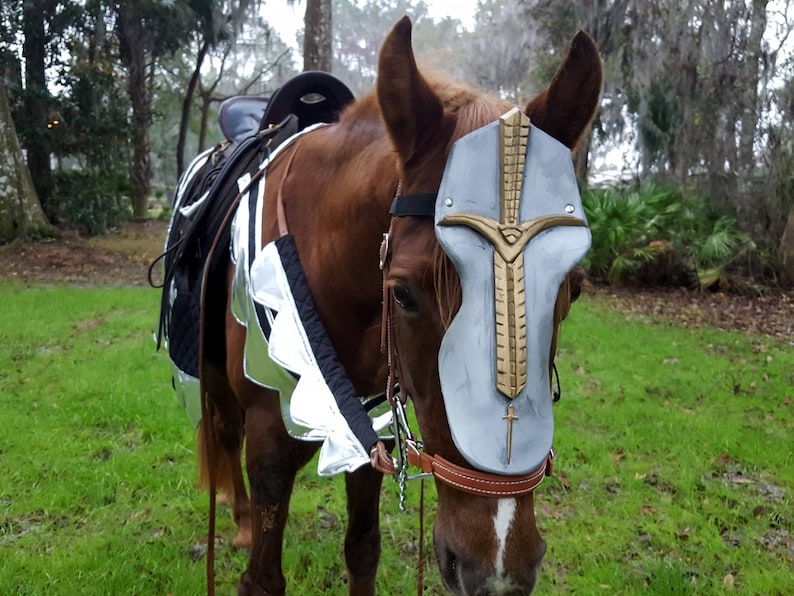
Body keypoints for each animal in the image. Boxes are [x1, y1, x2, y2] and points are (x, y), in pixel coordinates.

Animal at [166, 16, 601, 596]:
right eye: (403, 294)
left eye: (573, 289)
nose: (497, 570)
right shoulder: (269, 444)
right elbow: (263, 578)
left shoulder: (370, 432)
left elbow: (362, 550)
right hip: (214, 378)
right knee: (221, 430)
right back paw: (237, 520)